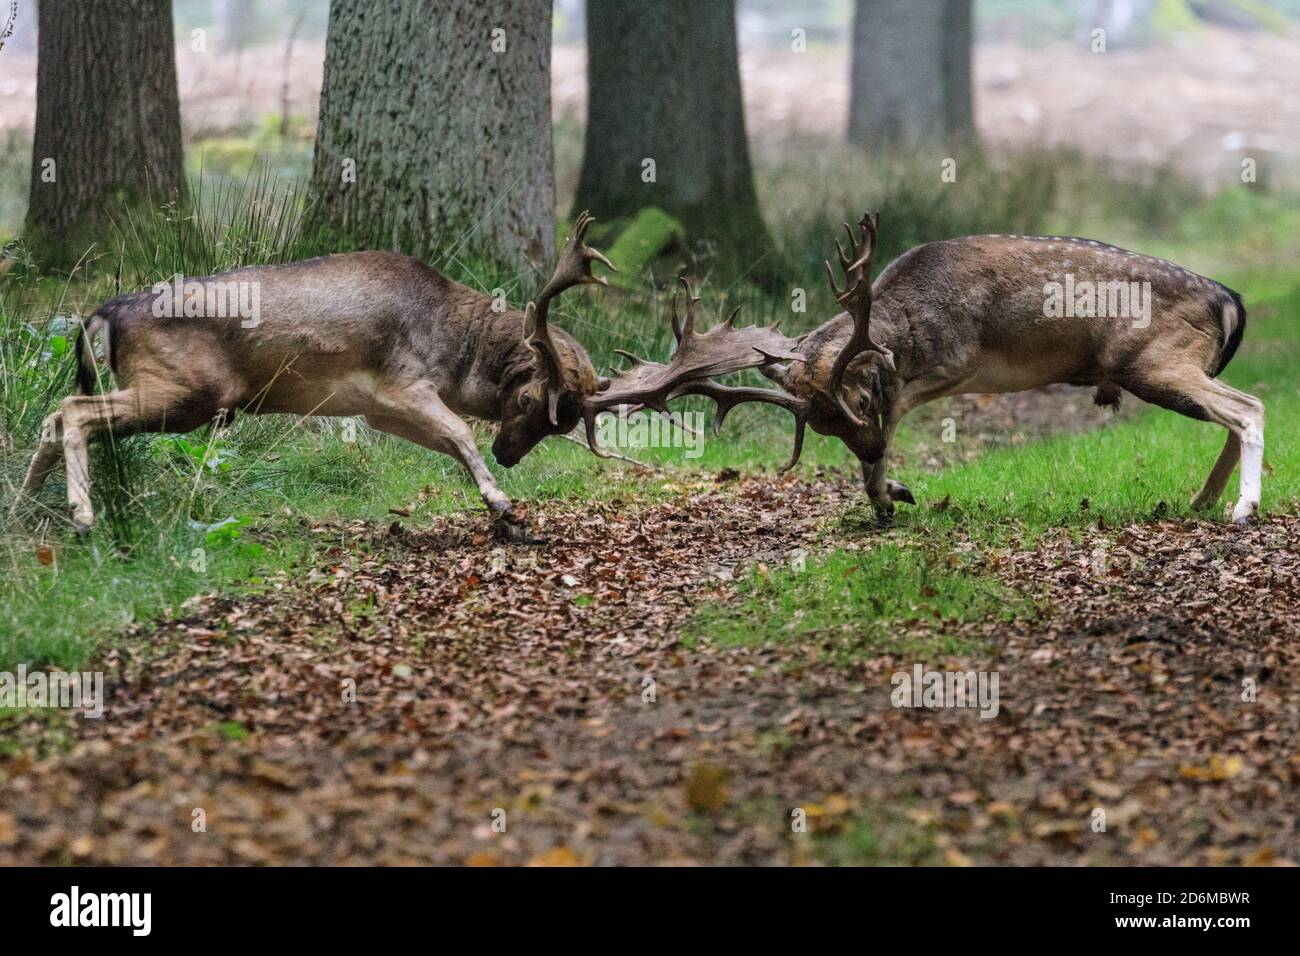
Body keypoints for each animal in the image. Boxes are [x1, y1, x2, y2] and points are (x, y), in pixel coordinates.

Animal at [14, 214, 799, 540]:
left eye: (560, 424)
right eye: (534, 400)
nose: (514, 454)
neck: (456, 348)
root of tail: (103, 312)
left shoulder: (375, 407)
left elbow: (447, 442)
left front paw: (500, 503)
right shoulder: (401, 382)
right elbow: (460, 434)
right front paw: (503, 505)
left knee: (57, 413)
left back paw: (26, 512)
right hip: (190, 392)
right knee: (69, 412)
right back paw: (81, 514)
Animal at [694, 212, 1263, 526]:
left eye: (857, 401)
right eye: (819, 427)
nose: (871, 453)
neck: (907, 324)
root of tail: (1228, 298)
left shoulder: (960, 358)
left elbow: (895, 408)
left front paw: (889, 493)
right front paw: (887, 497)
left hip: (1153, 361)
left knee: (1249, 408)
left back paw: (1242, 511)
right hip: (1176, 362)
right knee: (1238, 409)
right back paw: (1202, 500)